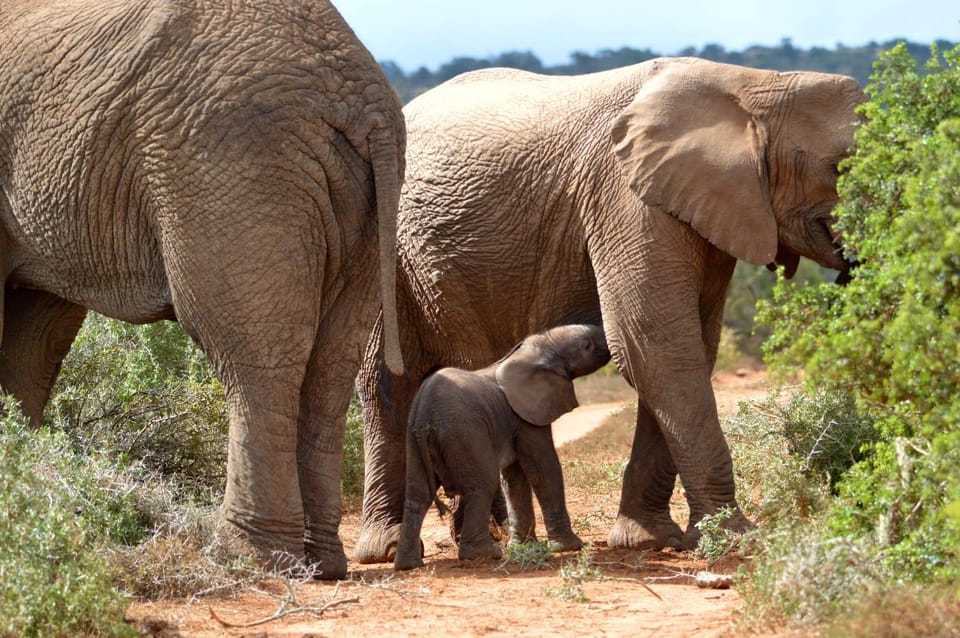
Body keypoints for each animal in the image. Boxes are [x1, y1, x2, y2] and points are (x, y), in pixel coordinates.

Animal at [0, 0, 405, 579]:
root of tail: (364, 104)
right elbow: (38, 330)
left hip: (234, 170)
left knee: (256, 362)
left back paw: (248, 557)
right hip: (356, 207)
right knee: (330, 366)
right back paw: (321, 564)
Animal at [394, 324, 611, 571]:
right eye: (587, 345)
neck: (529, 353)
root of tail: (424, 416)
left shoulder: (513, 419)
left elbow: (515, 477)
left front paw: (526, 547)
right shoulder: (526, 414)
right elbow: (543, 469)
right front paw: (571, 546)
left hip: (413, 437)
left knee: (417, 495)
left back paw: (408, 565)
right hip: (464, 433)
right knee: (482, 484)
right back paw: (484, 554)